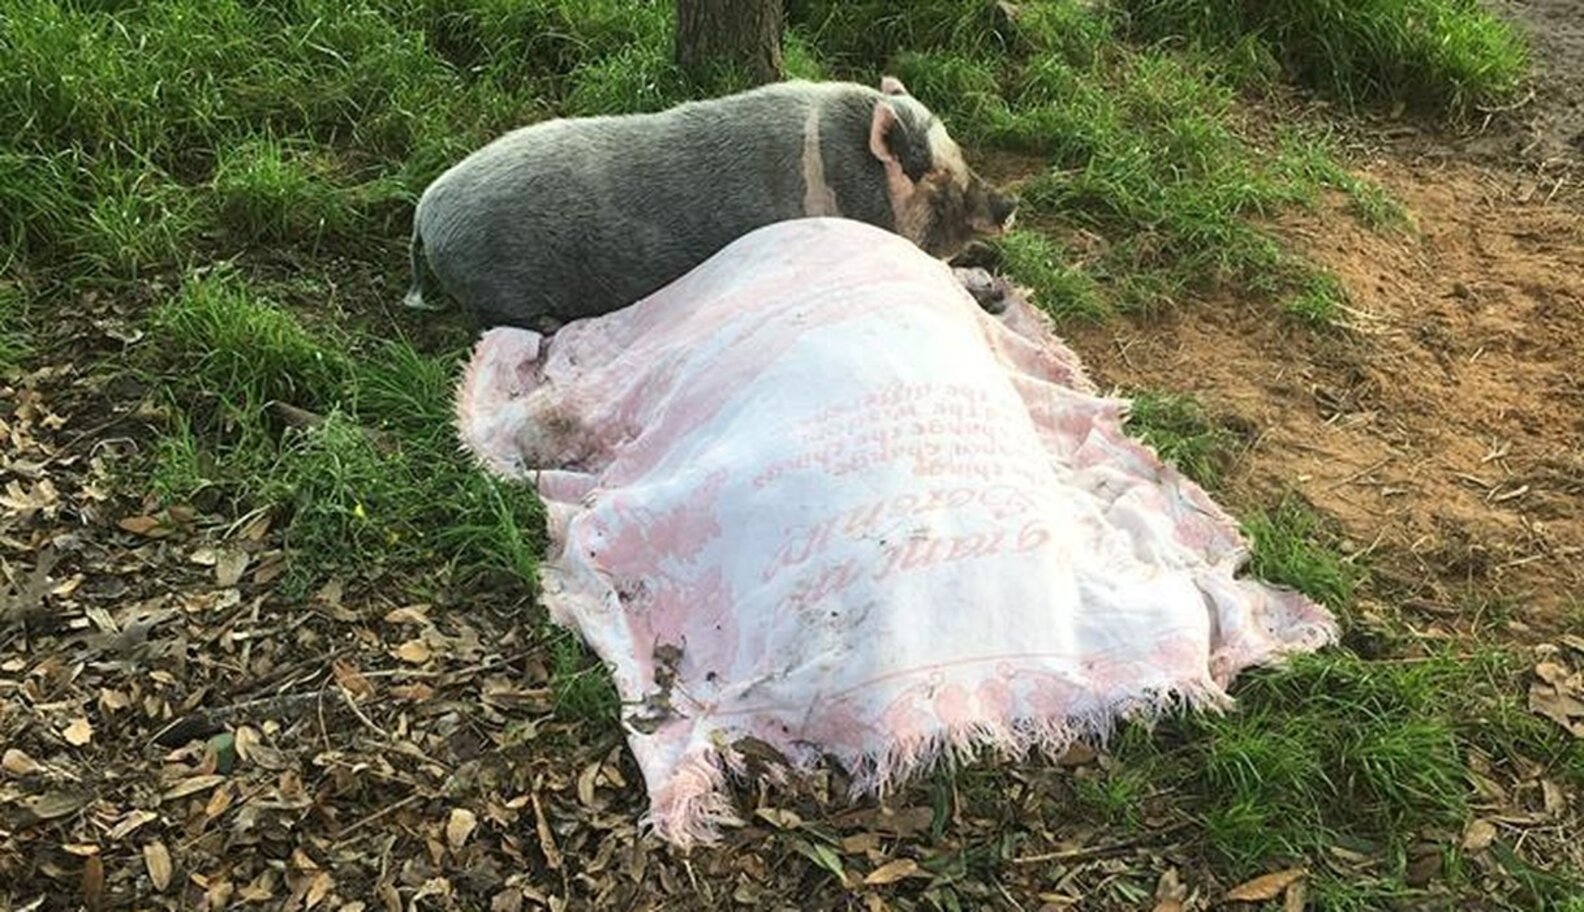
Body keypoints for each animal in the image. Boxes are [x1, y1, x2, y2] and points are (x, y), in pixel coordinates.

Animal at [404, 76, 1018, 332]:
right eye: (936, 174)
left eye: (960, 152)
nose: (1008, 203)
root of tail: (427, 210)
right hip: (497, 289)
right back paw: (553, 325)